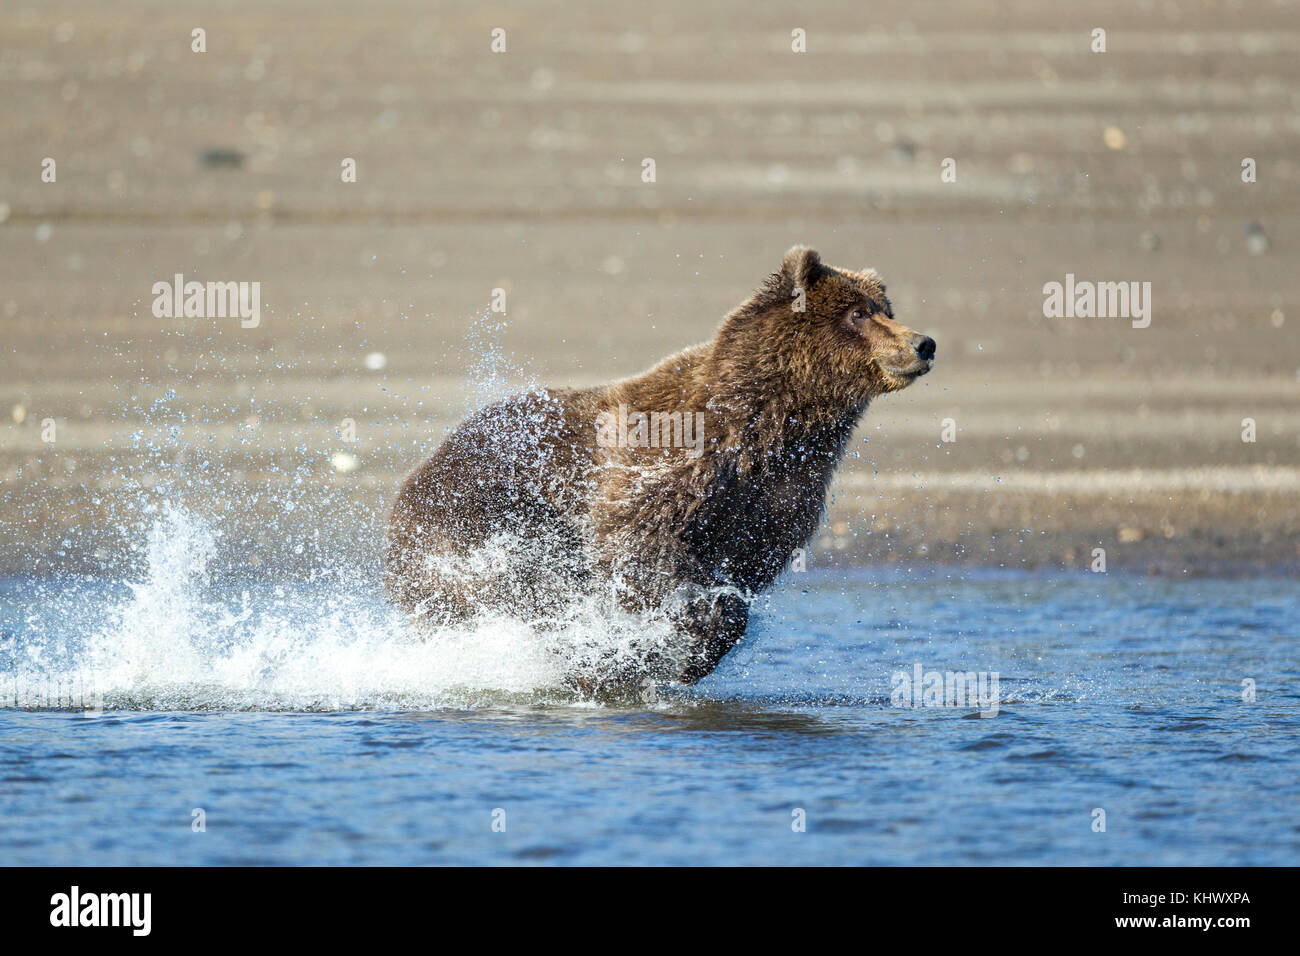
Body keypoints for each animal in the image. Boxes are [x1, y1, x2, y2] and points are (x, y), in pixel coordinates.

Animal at [385, 246, 936, 690]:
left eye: (886, 309)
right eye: (858, 313)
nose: (923, 343)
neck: (770, 424)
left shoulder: (776, 497)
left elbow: (740, 574)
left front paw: (690, 647)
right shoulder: (667, 464)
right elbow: (642, 551)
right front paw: (663, 638)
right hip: (477, 516)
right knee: (523, 586)